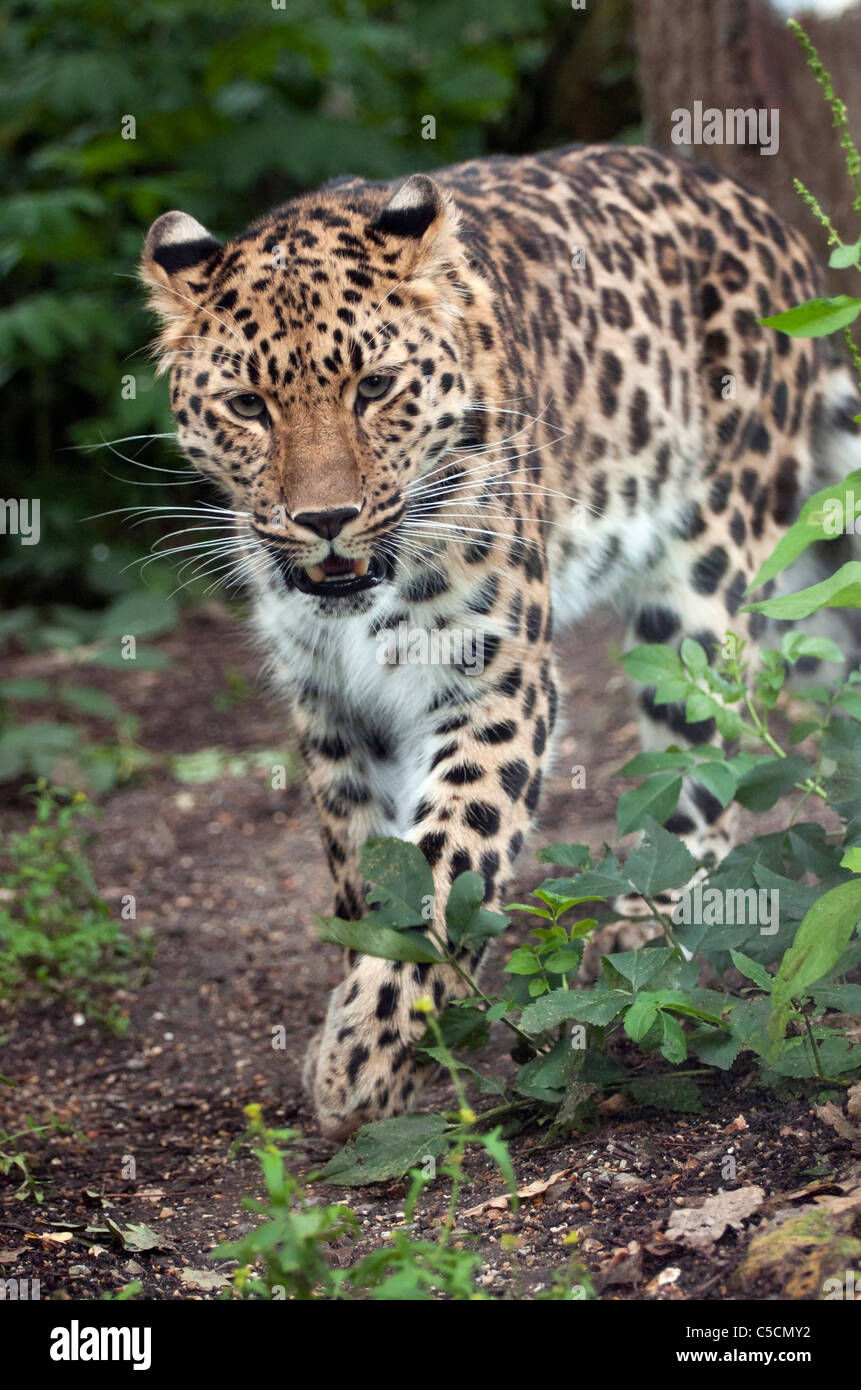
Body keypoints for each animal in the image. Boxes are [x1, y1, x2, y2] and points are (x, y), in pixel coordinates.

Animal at [140, 143, 861, 1142]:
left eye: (374, 387)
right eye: (248, 405)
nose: (324, 520)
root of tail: (773, 227)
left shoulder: (493, 682)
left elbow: (449, 863)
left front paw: (366, 1059)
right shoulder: (330, 704)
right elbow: (370, 869)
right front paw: (374, 1024)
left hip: (705, 577)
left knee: (705, 771)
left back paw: (652, 930)